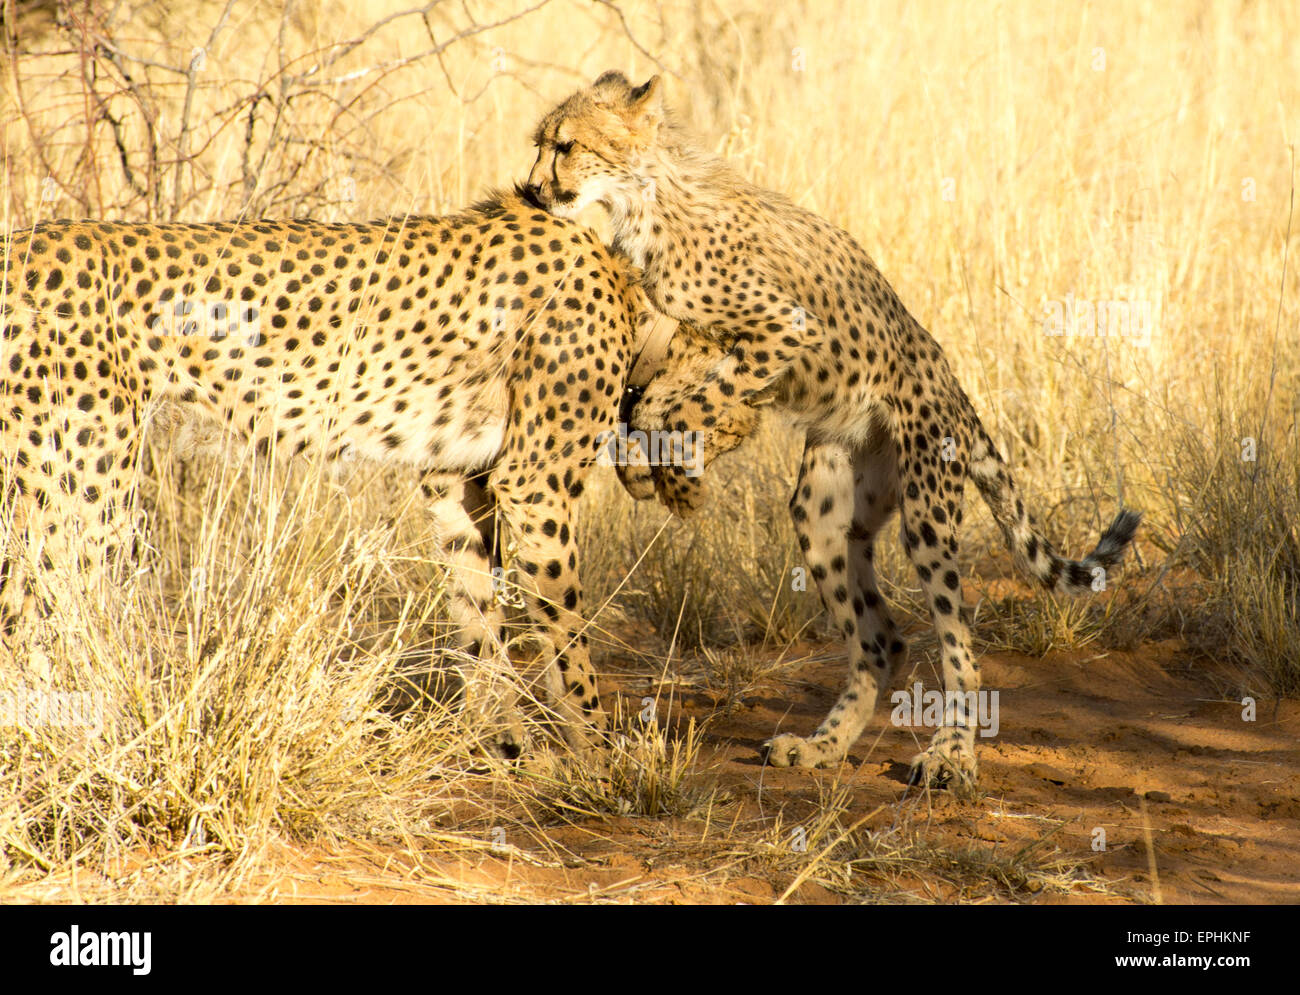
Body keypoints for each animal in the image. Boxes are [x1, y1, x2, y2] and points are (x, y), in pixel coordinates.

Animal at [0, 187, 659, 761]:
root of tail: (22, 238)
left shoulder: (455, 474)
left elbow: (476, 609)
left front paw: (503, 739)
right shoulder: (535, 481)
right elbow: (564, 620)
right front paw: (597, 753)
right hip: (82, 477)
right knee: (34, 605)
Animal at [524, 71, 1141, 789]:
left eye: (566, 146)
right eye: (542, 145)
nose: (533, 189)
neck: (644, 199)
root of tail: (955, 390)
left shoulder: (783, 329)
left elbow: (683, 406)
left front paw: (677, 479)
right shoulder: (695, 340)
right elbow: (658, 405)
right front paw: (650, 472)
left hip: (928, 508)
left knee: (958, 635)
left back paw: (952, 753)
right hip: (823, 511)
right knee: (881, 641)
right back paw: (822, 745)